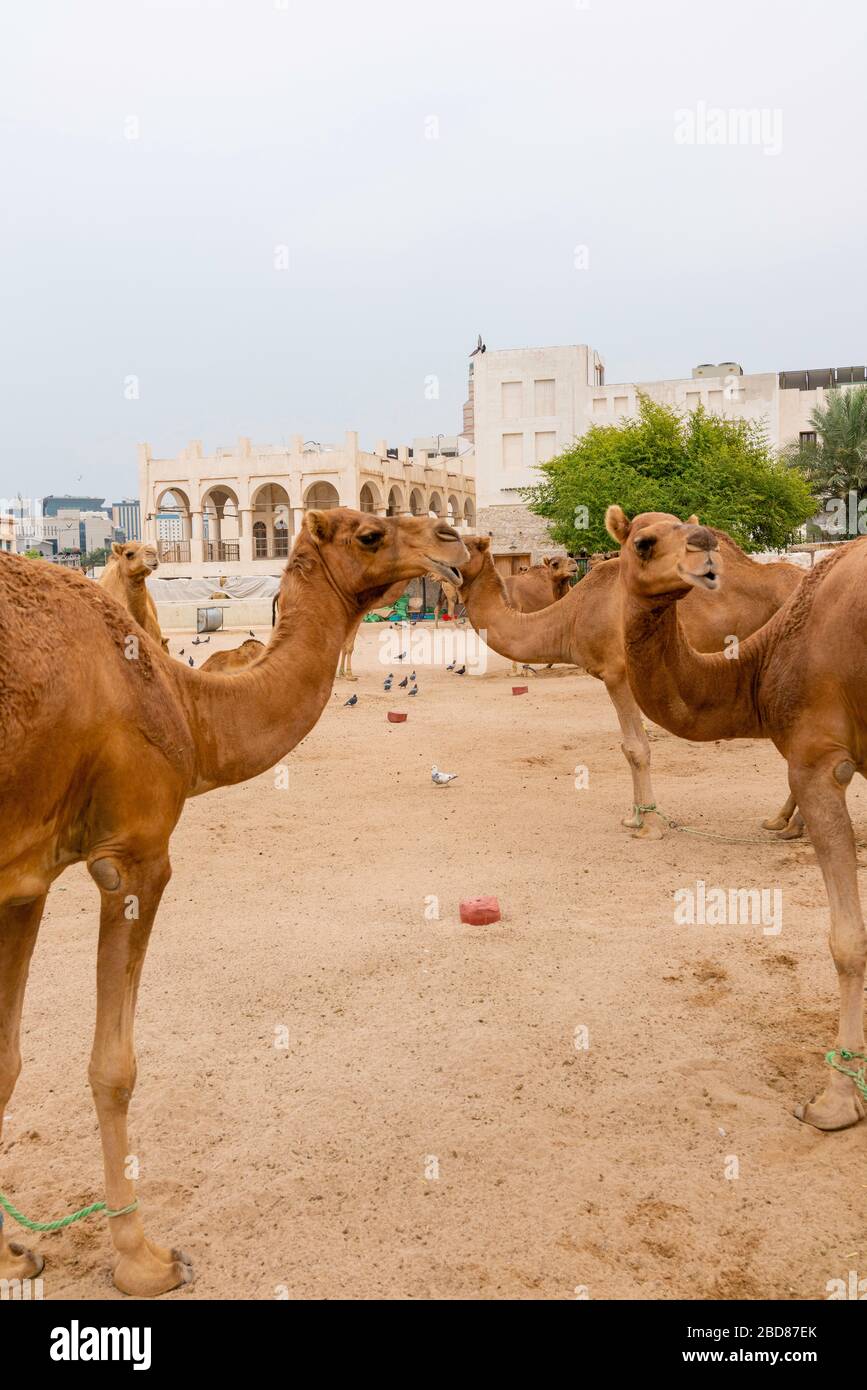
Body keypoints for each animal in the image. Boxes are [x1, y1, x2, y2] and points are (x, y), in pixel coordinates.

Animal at [0, 508, 467, 1295]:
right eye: (369, 534)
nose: (457, 540)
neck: (188, 704)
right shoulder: (134, 856)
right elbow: (113, 1067)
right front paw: (144, 1260)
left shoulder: (24, 879)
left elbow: (6, 1063)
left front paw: (11, 1250)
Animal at [456, 534, 803, 838]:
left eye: (457, 540)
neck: (572, 616)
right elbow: (628, 746)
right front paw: (634, 817)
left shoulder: (618, 675)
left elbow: (637, 748)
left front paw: (649, 826)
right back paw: (781, 821)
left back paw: (791, 824)